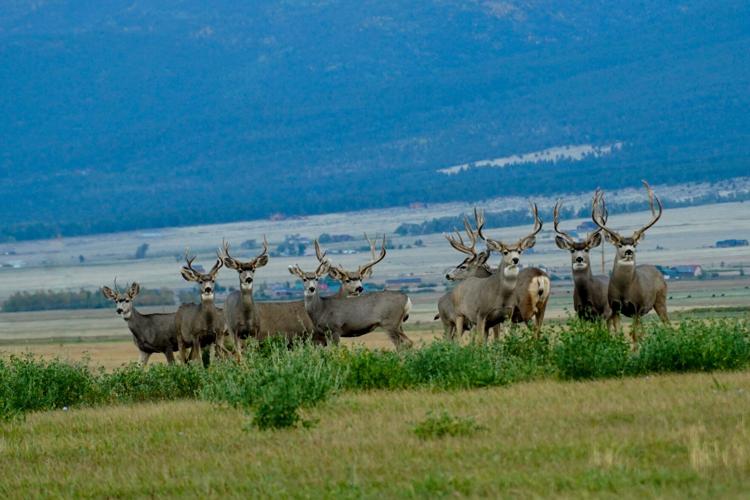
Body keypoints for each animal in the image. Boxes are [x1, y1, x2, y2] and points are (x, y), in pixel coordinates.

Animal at [437, 211, 550, 340]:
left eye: (463, 266)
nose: (448, 275)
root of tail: (540, 277)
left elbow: (495, 337)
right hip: (542, 306)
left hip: (526, 308)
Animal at [591, 181, 669, 341]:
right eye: (620, 244)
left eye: (634, 244)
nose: (629, 251)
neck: (624, 289)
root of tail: (657, 271)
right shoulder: (614, 307)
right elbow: (619, 333)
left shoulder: (636, 308)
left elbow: (634, 335)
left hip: (660, 299)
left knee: (667, 324)